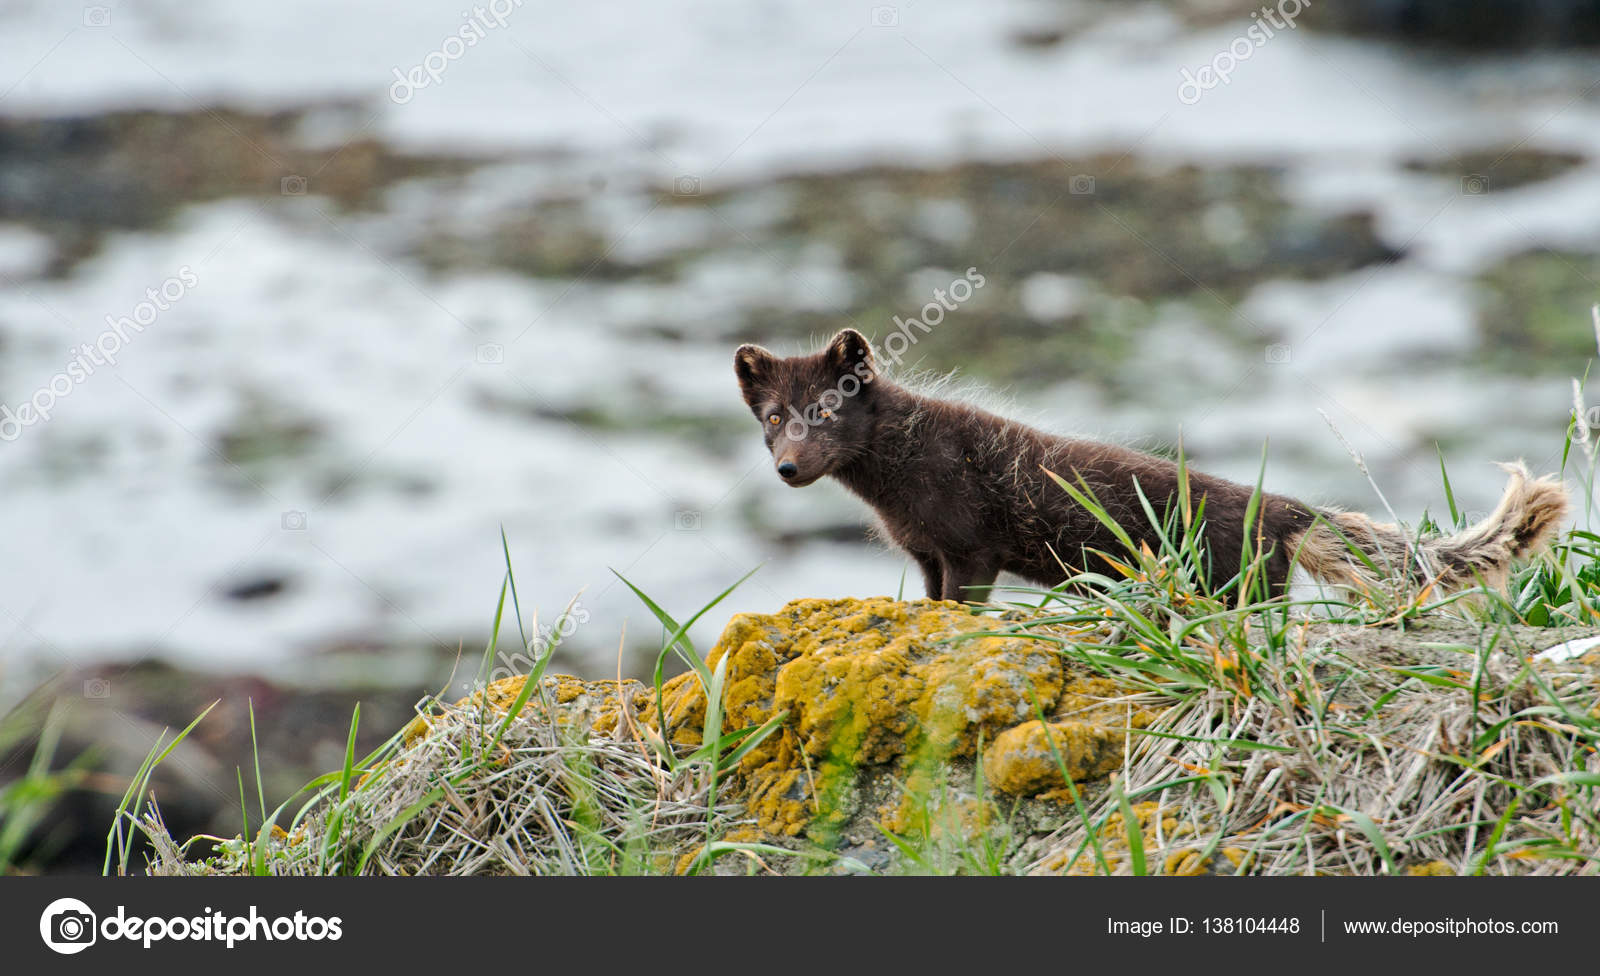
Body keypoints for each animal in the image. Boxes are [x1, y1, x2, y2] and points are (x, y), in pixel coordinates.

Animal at [733, 328, 1570, 603]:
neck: (898, 484)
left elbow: (965, 600)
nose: (788, 470)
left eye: (826, 411)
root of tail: (1285, 508)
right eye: (773, 418)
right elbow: (932, 600)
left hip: (1234, 577)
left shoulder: (969, 543)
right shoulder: (923, 550)